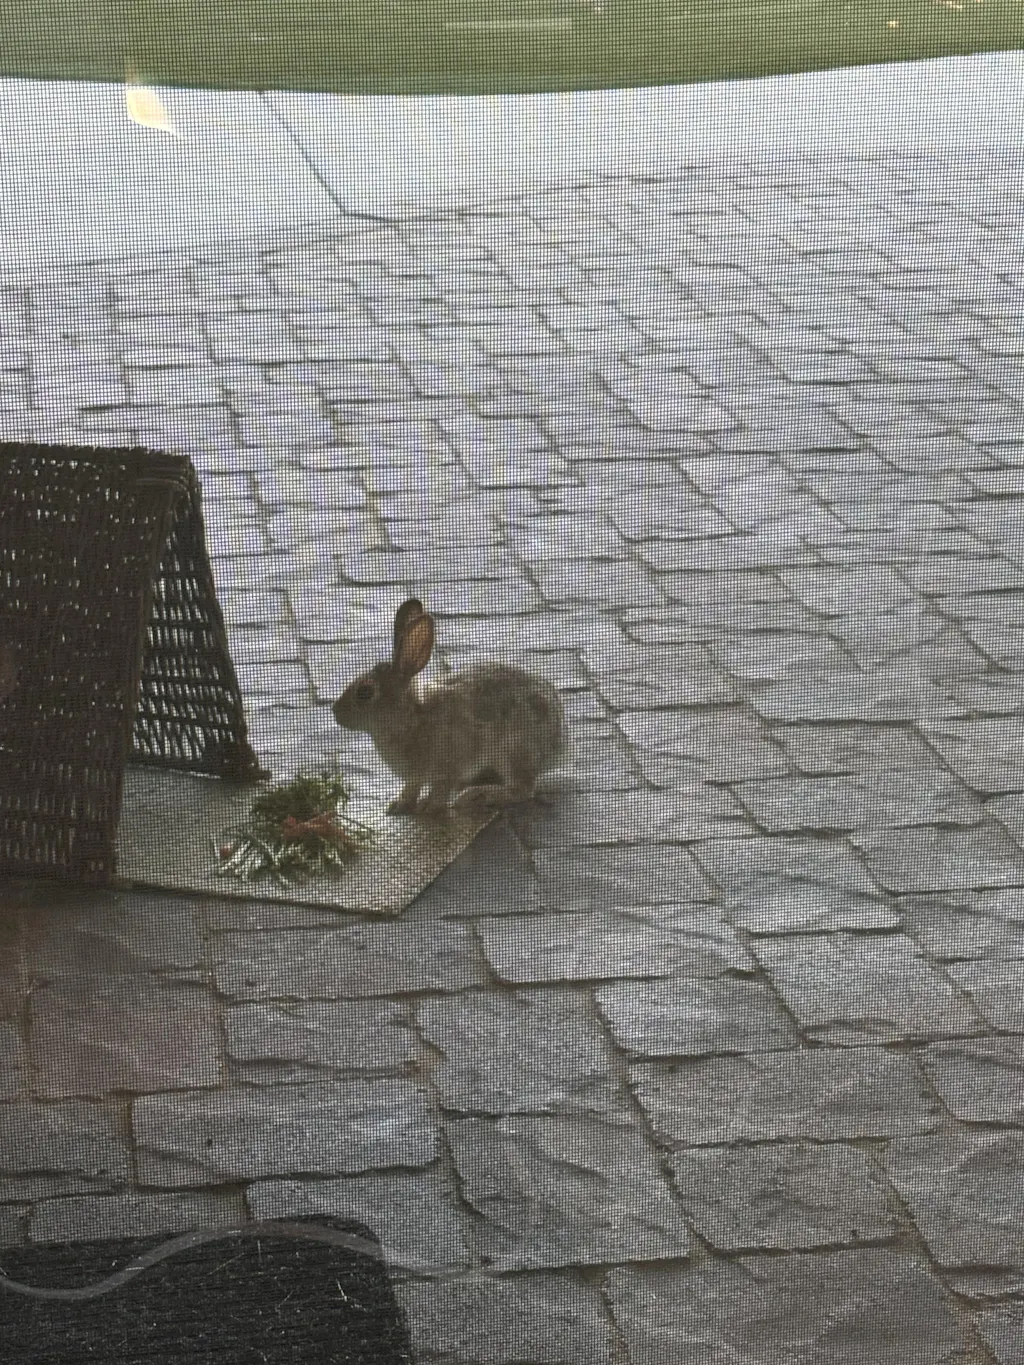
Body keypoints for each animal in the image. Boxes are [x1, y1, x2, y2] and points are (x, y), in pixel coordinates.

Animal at [332, 599, 566, 816]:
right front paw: (398, 805)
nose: (336, 713)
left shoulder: (449, 764)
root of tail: (561, 743)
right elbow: (411, 788)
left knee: (523, 789)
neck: (410, 717)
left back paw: (476, 795)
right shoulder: (415, 776)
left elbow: (440, 789)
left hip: (514, 749)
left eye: (365, 692)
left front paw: (428, 807)